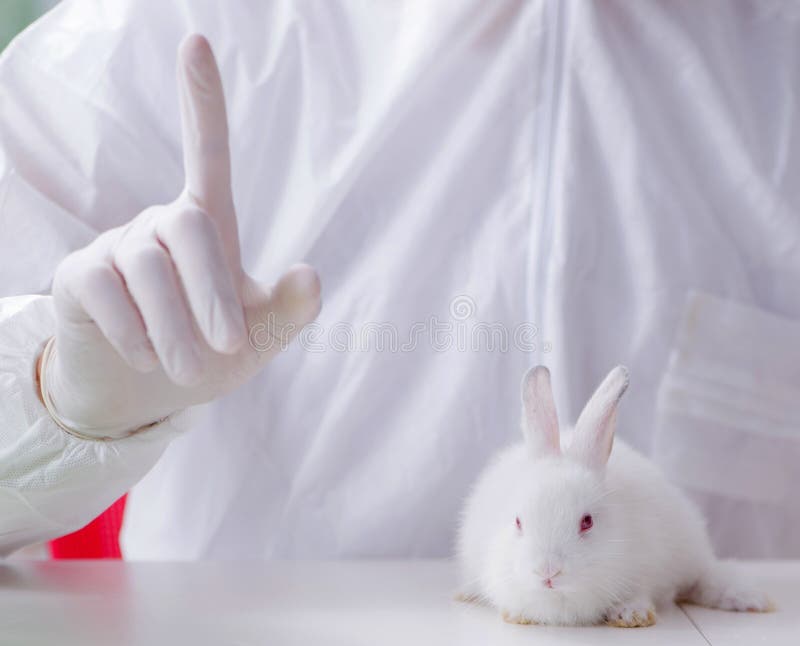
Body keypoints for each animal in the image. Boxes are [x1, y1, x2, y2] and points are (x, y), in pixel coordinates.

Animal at [455, 365, 772, 627]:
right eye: (518, 522)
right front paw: (518, 614)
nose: (548, 572)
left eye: (587, 522)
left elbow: (640, 592)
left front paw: (631, 615)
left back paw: (750, 600)